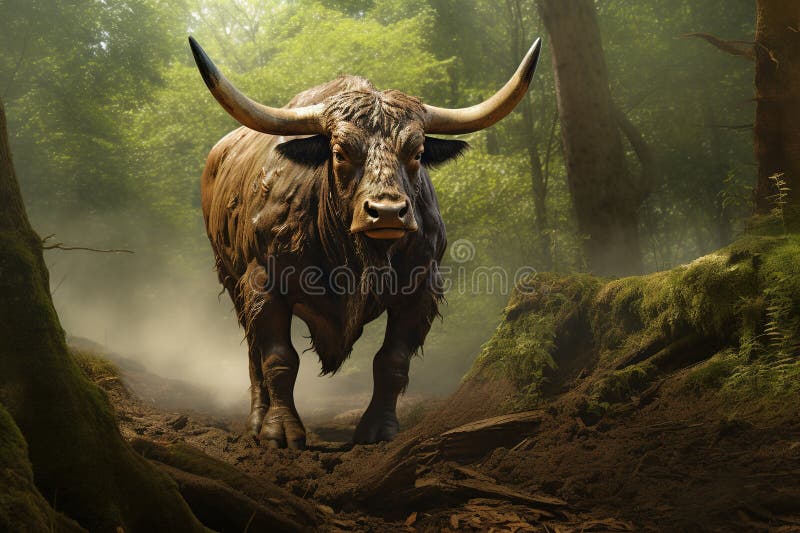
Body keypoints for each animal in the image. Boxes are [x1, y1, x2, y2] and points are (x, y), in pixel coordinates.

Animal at [189, 35, 541, 449]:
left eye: (417, 153)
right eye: (340, 153)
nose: (387, 212)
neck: (354, 257)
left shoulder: (421, 290)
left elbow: (392, 361)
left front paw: (379, 428)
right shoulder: (263, 284)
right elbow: (279, 359)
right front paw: (282, 431)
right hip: (231, 280)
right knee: (252, 354)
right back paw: (257, 420)